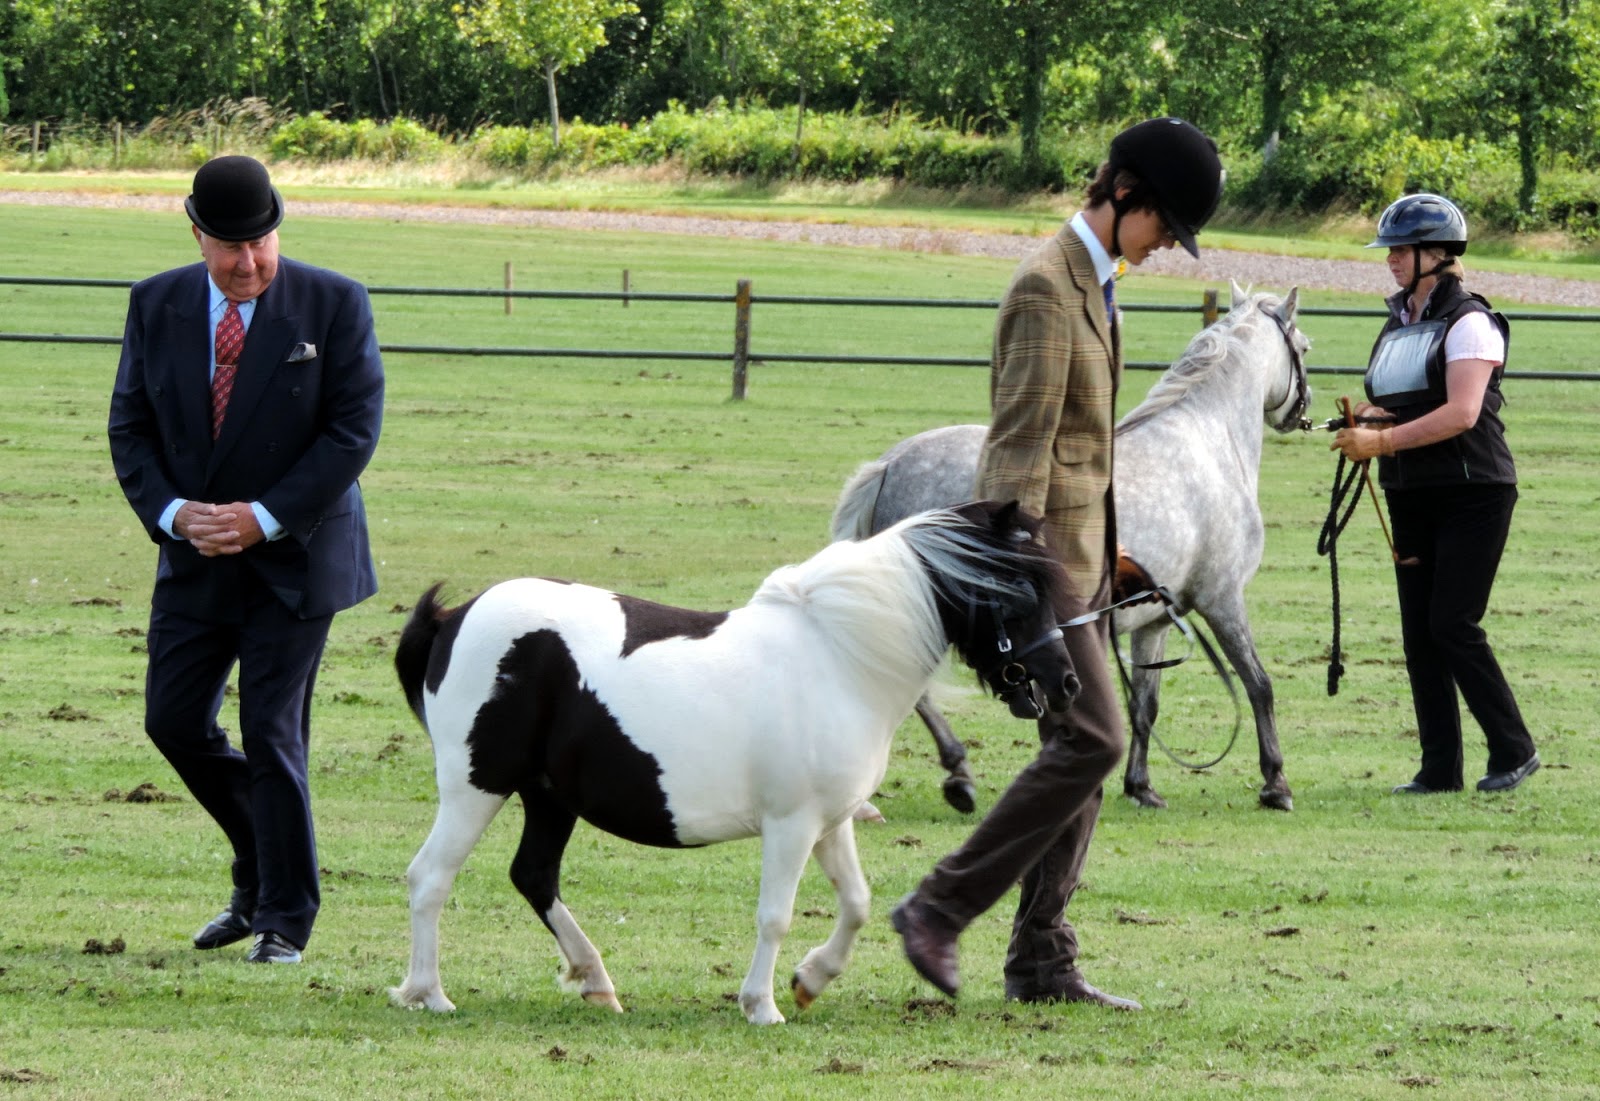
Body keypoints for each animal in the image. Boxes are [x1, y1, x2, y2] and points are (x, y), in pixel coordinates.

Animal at [390, 500, 1077, 1025]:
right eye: (1018, 590)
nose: (1065, 683)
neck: (838, 659)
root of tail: (453, 618)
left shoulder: (831, 823)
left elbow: (856, 903)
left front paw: (810, 981)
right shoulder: (792, 826)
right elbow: (774, 916)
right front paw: (762, 1006)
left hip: (549, 797)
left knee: (533, 877)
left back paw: (595, 982)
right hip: (477, 789)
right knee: (431, 877)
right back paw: (429, 993)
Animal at [832, 285, 1310, 813]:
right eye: (1305, 348)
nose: (1303, 411)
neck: (1206, 442)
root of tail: (891, 465)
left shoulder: (1158, 620)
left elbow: (1145, 704)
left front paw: (1140, 786)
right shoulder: (1222, 599)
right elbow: (1258, 684)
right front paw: (1276, 783)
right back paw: (956, 771)